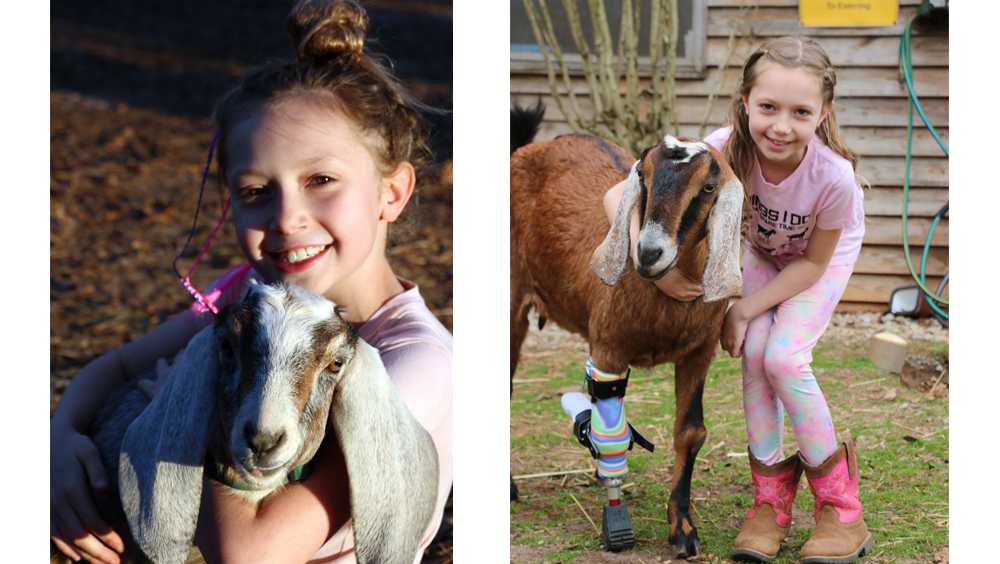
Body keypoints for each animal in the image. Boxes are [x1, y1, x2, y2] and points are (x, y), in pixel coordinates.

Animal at [510, 106, 742, 556]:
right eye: (643, 176)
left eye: (708, 186)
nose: (649, 252)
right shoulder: (608, 348)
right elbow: (610, 436)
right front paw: (615, 524)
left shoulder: (699, 352)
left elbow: (691, 432)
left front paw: (682, 528)